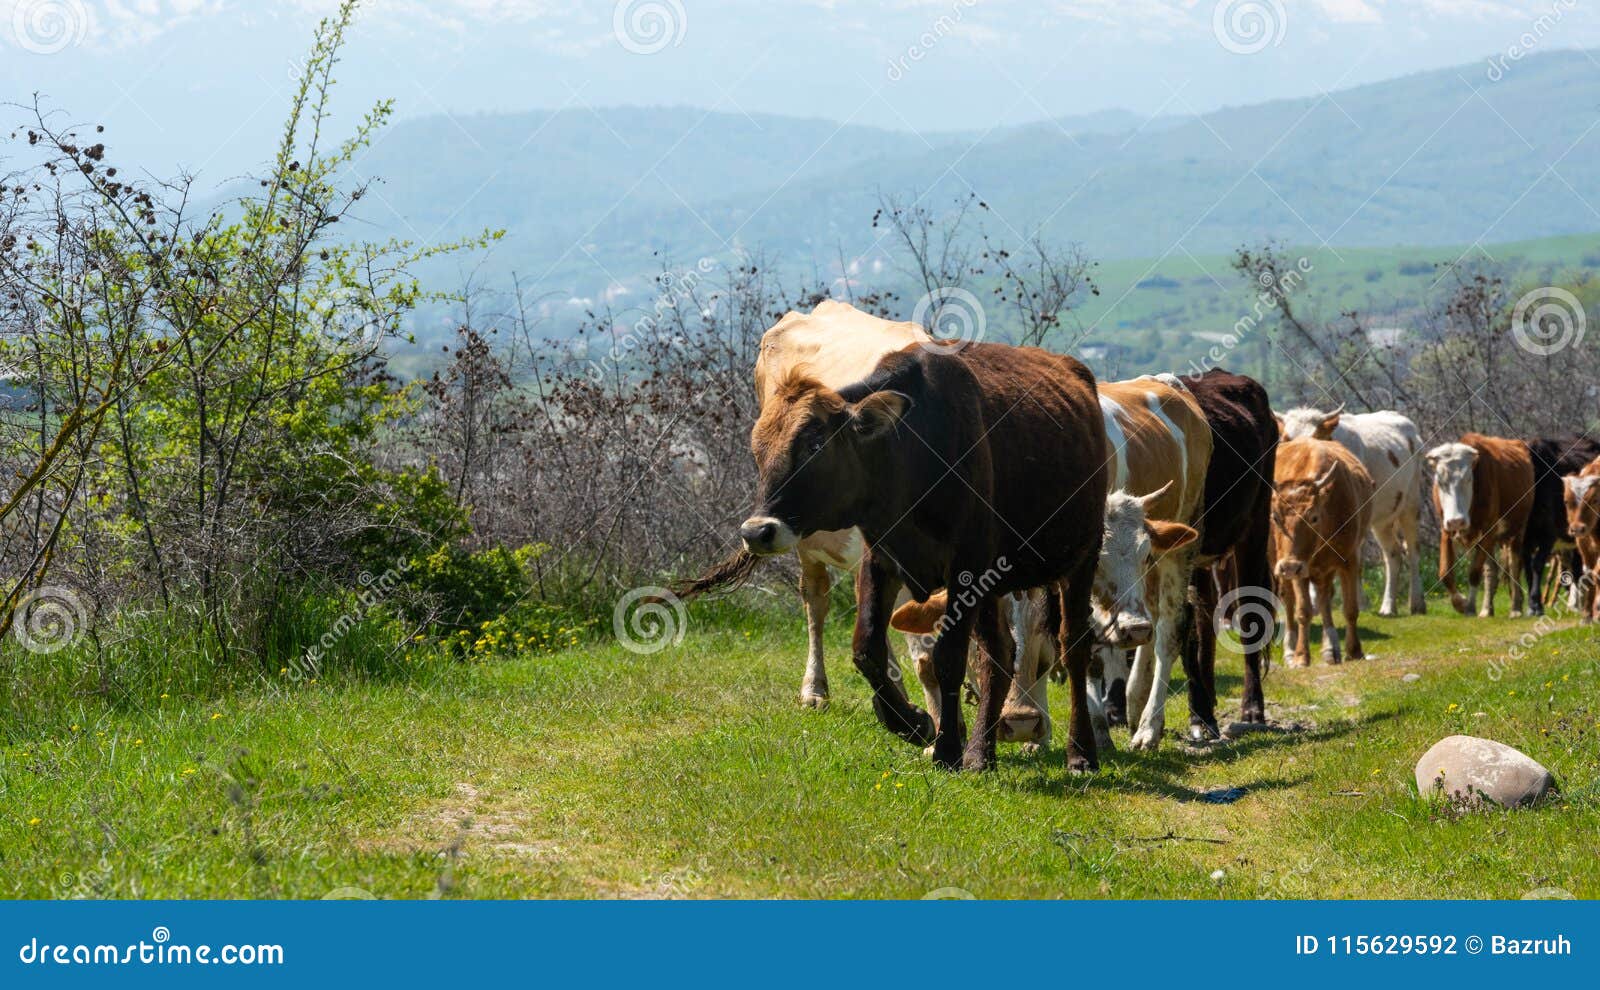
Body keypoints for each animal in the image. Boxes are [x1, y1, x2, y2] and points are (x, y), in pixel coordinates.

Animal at [736, 341, 1109, 772]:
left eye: (815, 445)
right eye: (758, 450)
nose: (756, 532)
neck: (909, 456)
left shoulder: (967, 567)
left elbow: (948, 657)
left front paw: (946, 749)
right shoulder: (880, 560)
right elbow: (866, 649)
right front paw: (912, 723)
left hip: (1082, 557)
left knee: (1074, 646)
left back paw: (1081, 752)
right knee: (999, 652)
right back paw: (981, 753)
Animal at [1272, 438, 1375, 666]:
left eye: (1314, 517)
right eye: (1274, 517)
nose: (1289, 566)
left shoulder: (1349, 560)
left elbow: (1350, 608)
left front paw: (1354, 651)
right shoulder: (1299, 568)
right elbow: (1303, 610)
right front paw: (1301, 655)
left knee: (1324, 596)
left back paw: (1330, 649)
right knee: (1289, 599)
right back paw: (1289, 651)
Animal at [1276, 406, 1425, 616]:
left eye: (1316, 436)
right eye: (1287, 438)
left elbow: (1356, 561)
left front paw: (1359, 603)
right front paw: (1314, 603)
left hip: (1411, 504)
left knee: (1413, 551)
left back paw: (1417, 603)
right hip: (1383, 519)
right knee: (1393, 554)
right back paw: (1388, 606)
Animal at [1425, 434, 1535, 617]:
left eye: (1468, 479)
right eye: (1440, 481)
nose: (1456, 520)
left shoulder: (1488, 531)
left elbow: (1474, 573)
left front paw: (1469, 607)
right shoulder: (1446, 530)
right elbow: (1445, 573)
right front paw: (1460, 604)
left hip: (1518, 530)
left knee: (1514, 566)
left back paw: (1515, 608)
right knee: (1491, 570)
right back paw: (1486, 609)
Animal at [1524, 435, 1600, 614]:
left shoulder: (1548, 535)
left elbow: (1536, 565)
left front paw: (1537, 605)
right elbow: (1527, 567)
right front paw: (1532, 604)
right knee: (1577, 568)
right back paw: (1576, 604)